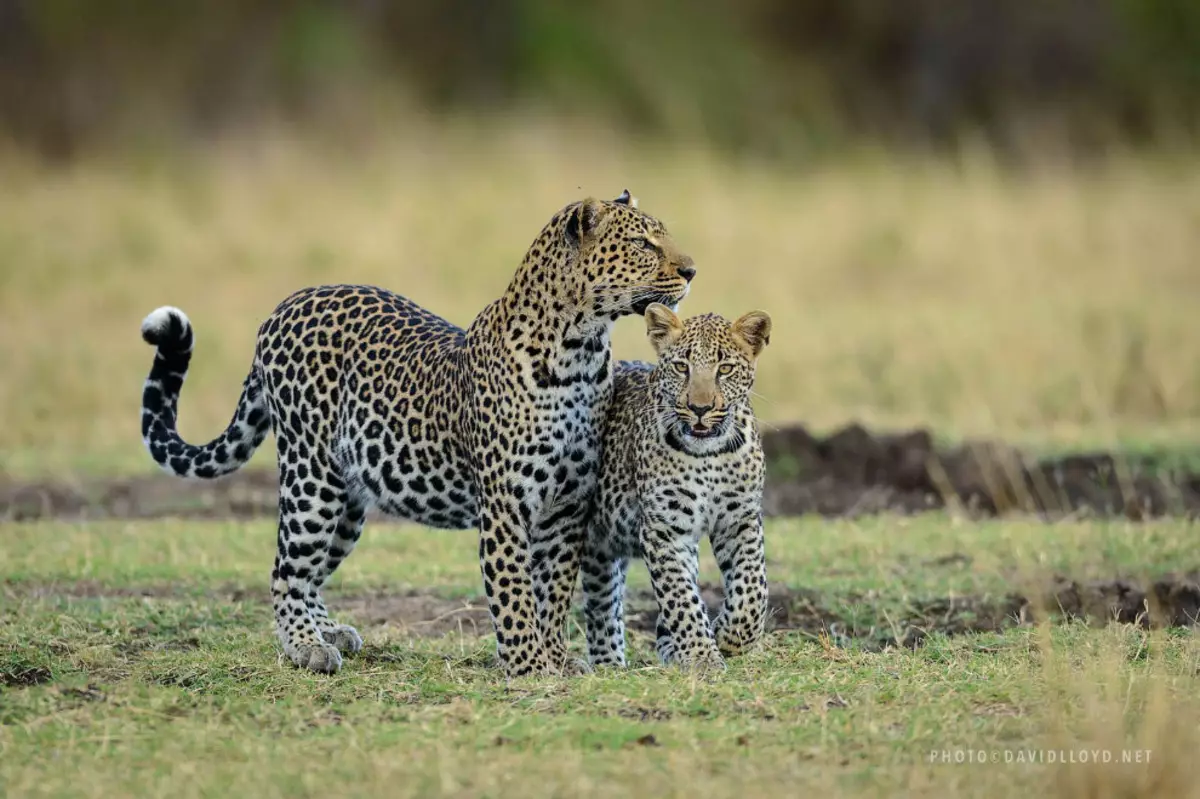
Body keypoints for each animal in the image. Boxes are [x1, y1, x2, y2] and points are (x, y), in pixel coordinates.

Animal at [139, 189, 696, 676]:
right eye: (644, 244)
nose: (692, 270)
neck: (581, 349)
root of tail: (283, 307)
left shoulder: (568, 504)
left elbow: (554, 591)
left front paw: (558, 658)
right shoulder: (505, 502)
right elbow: (515, 590)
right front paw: (529, 666)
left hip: (349, 500)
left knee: (312, 569)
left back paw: (328, 632)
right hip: (312, 478)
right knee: (286, 571)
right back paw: (306, 647)